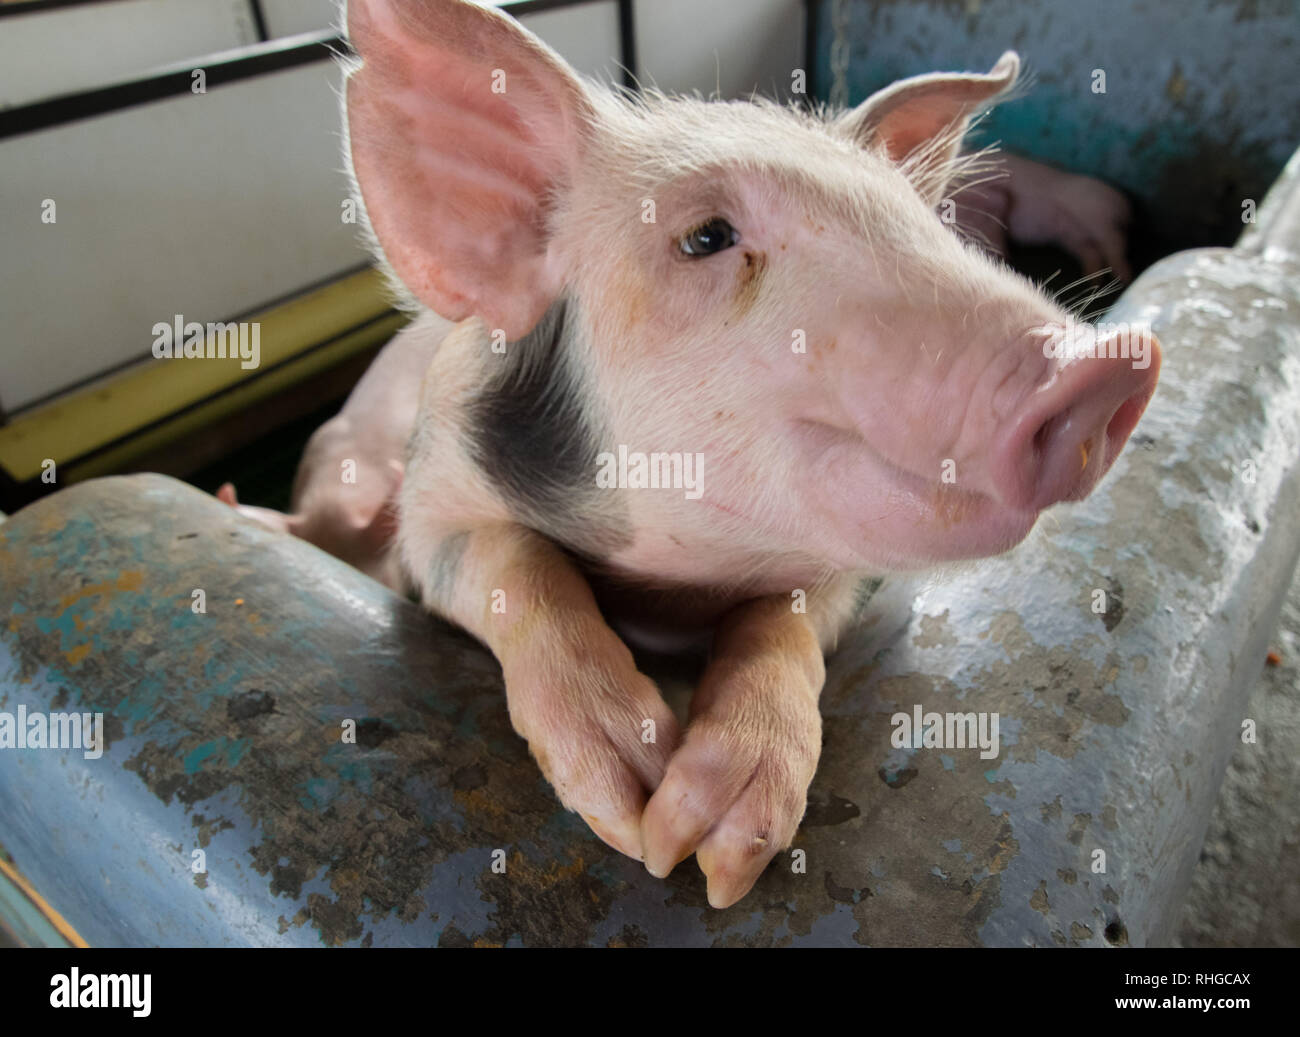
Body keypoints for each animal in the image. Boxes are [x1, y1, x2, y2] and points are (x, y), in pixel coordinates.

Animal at [223, 0, 1161, 908]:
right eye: (706, 237)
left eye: (922, 221)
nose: (1110, 363)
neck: (675, 586)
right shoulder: (434, 500)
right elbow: (512, 561)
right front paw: (631, 806)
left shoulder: (845, 575)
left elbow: (782, 623)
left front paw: (708, 850)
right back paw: (243, 509)